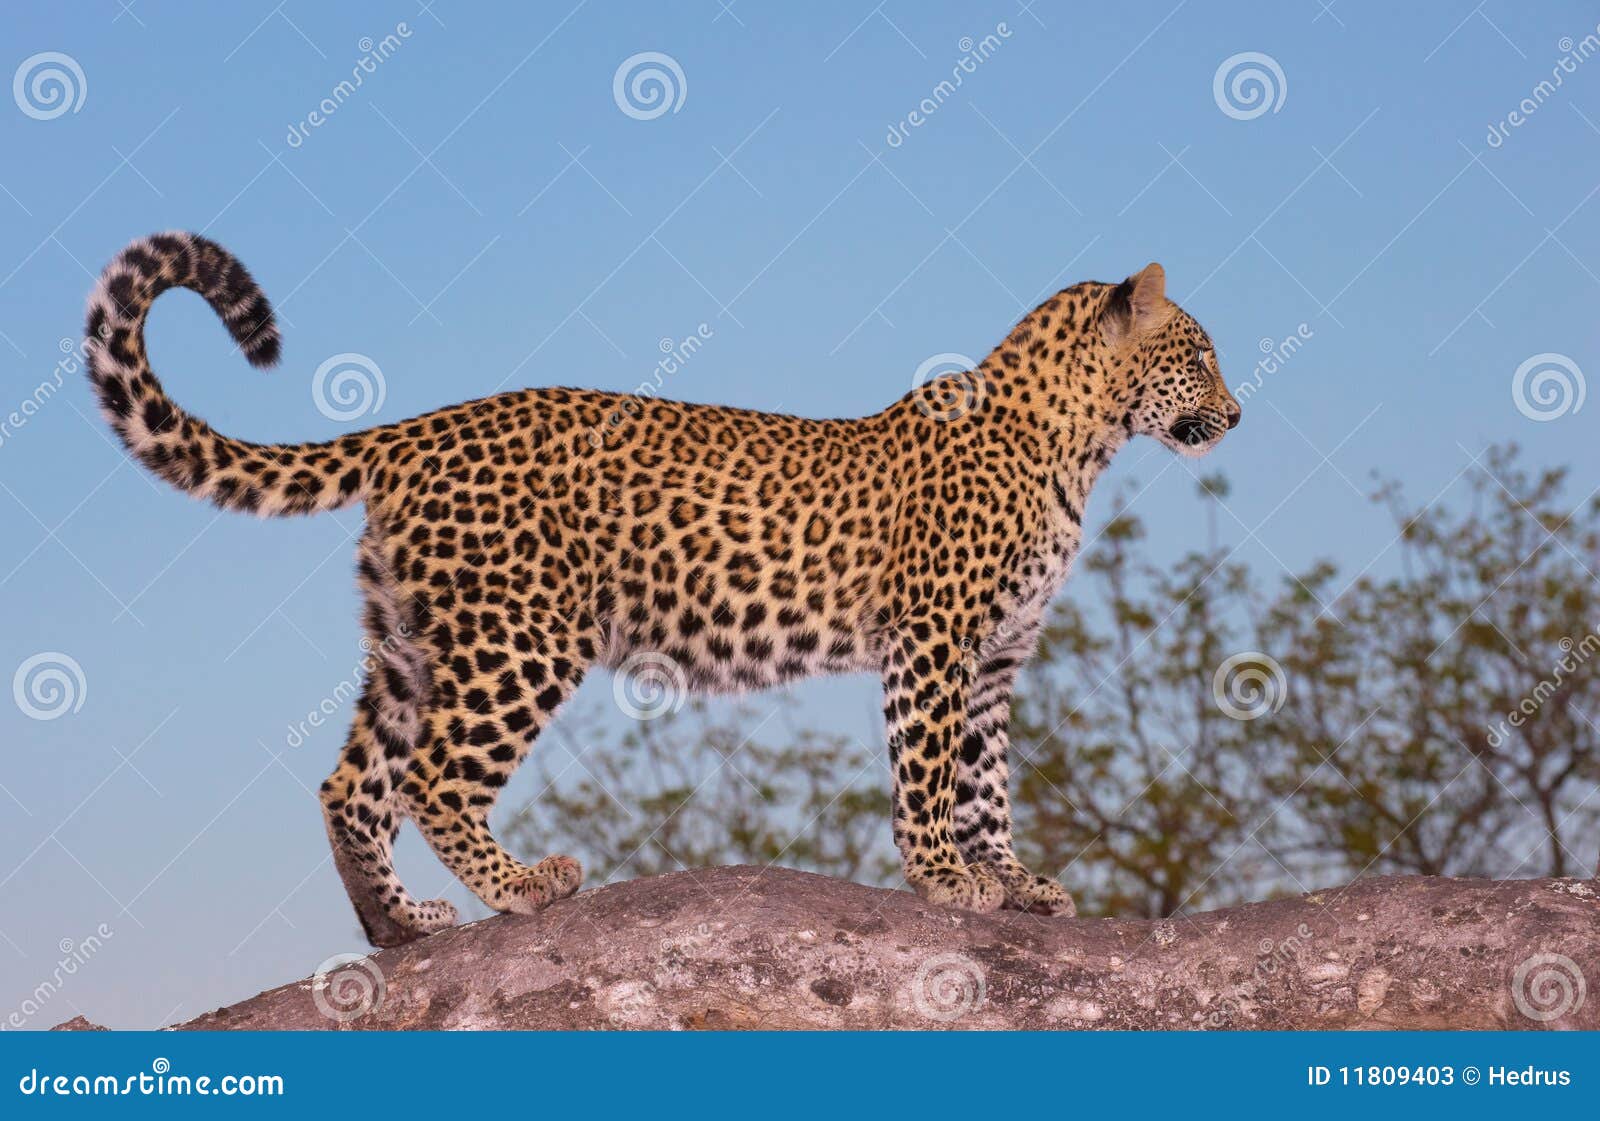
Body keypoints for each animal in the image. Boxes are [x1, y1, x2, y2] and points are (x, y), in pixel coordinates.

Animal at [83, 232, 1239, 946]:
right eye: (1199, 353)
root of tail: (423, 425)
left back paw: (402, 926)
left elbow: (987, 781)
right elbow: (927, 774)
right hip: (521, 636)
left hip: (414, 643)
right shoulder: (934, 642)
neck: (1080, 444)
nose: (1235, 415)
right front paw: (944, 879)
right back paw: (522, 885)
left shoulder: (996, 660)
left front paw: (1016, 880)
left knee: (351, 786)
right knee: (434, 778)